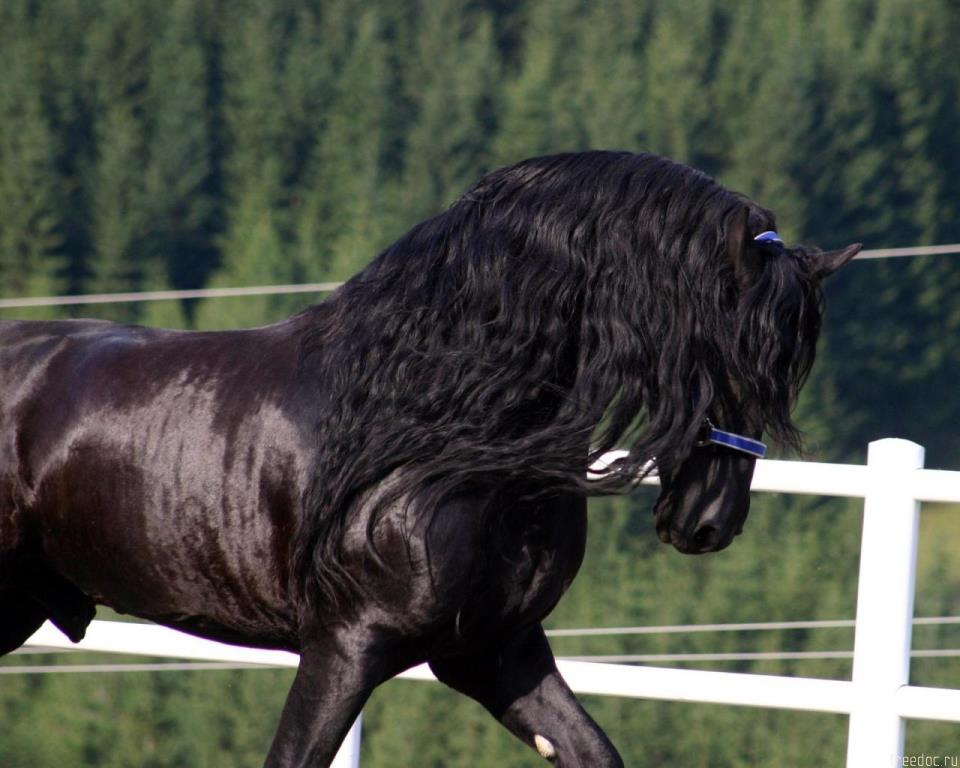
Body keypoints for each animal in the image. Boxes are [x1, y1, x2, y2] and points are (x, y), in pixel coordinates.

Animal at [0, 150, 859, 767]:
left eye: (790, 372)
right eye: (725, 353)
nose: (710, 523)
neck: (434, 435)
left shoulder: (494, 651)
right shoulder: (345, 647)